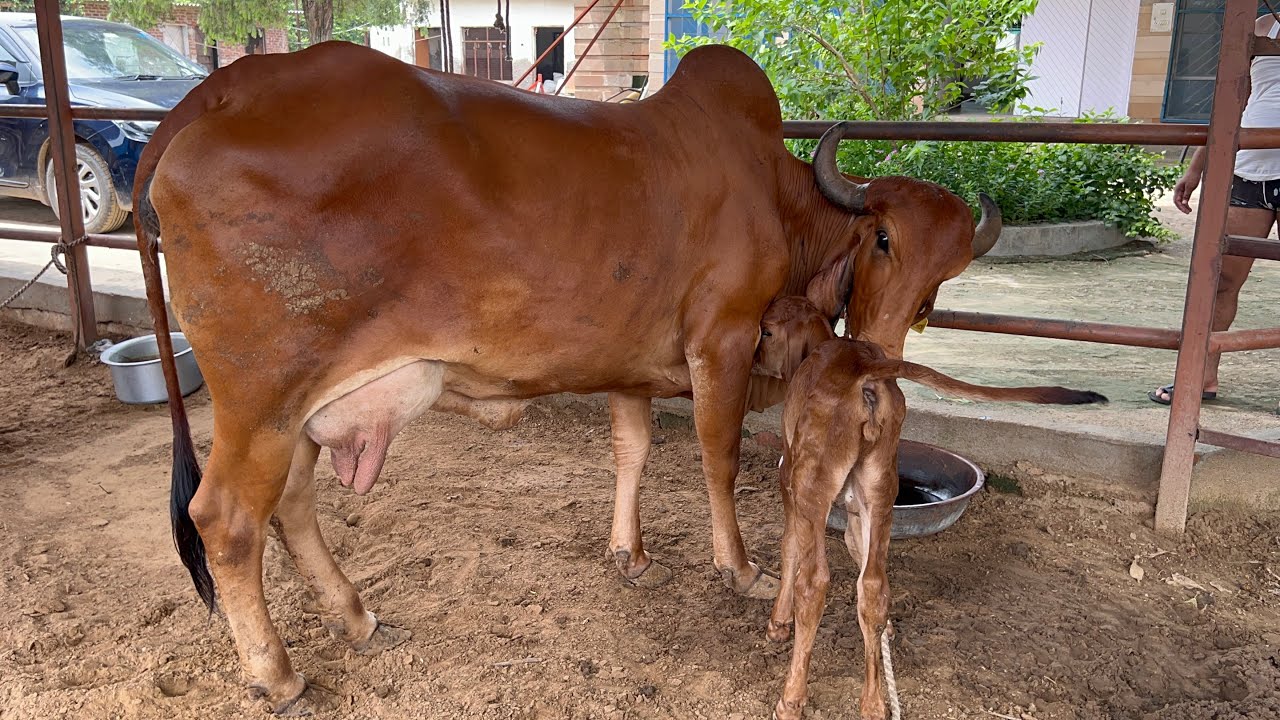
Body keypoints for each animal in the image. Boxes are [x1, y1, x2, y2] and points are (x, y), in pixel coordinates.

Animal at [134, 40, 1000, 711]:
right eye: (882, 240)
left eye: (944, 281)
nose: (880, 354)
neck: (780, 199)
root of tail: (230, 86)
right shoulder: (720, 343)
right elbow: (718, 459)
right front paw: (741, 568)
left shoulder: (629, 364)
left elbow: (632, 451)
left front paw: (631, 555)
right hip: (261, 399)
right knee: (225, 520)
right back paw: (277, 674)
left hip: (308, 408)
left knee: (291, 506)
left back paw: (354, 616)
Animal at [752, 297, 1105, 720]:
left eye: (766, 330)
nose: (755, 360)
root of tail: (862, 368)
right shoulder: (856, 509)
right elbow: (860, 557)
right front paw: (885, 632)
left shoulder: (789, 478)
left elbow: (788, 548)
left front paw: (777, 623)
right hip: (881, 485)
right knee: (874, 585)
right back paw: (874, 702)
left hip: (813, 483)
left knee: (815, 582)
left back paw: (792, 697)